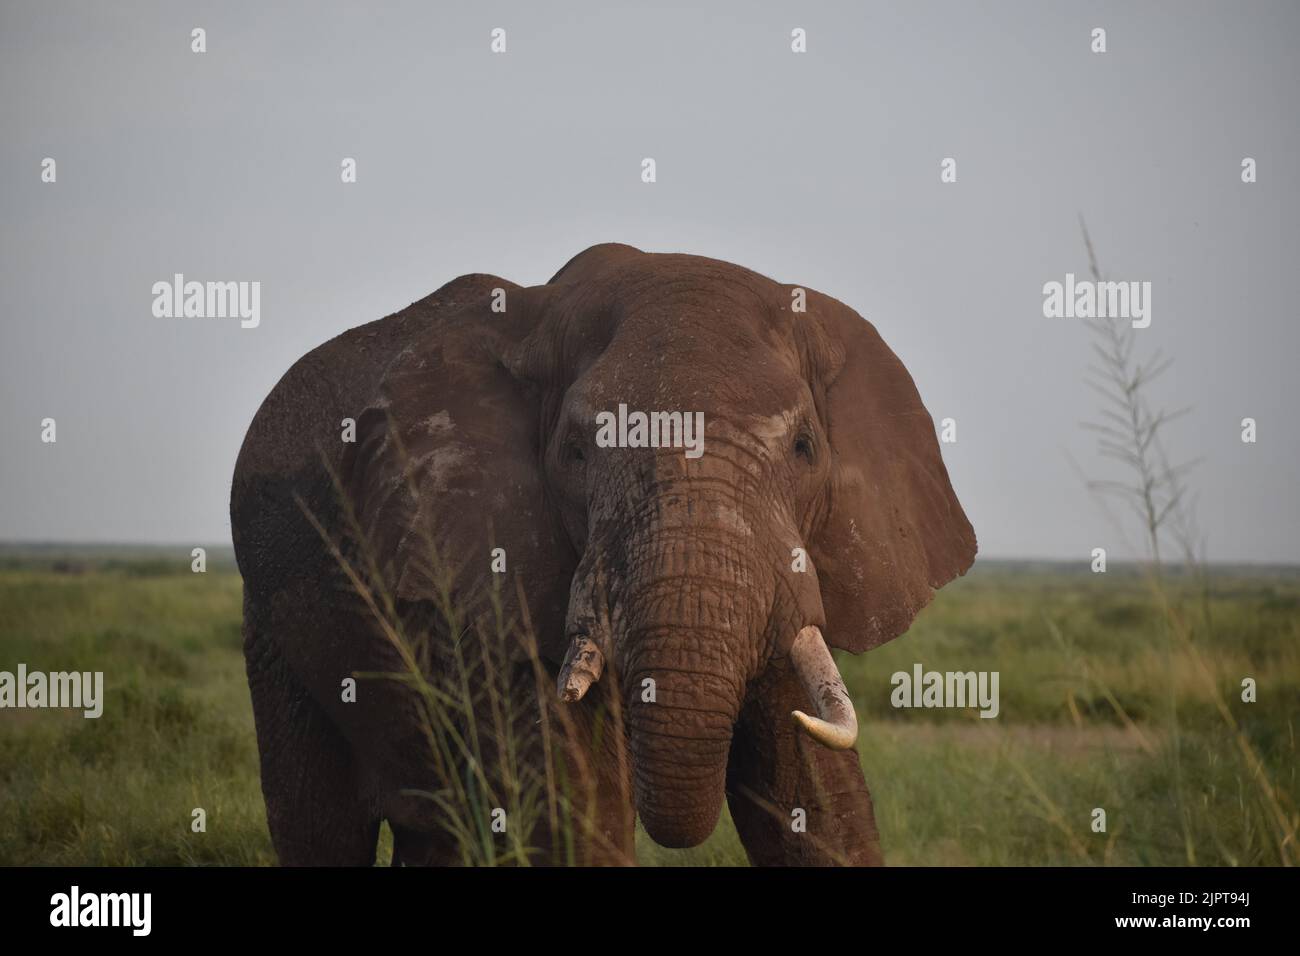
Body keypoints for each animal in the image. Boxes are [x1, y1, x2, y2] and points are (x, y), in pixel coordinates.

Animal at [230, 243, 975, 866]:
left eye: (804, 447)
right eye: (575, 452)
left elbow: (820, 804)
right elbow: (573, 815)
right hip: (269, 616)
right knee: (322, 827)